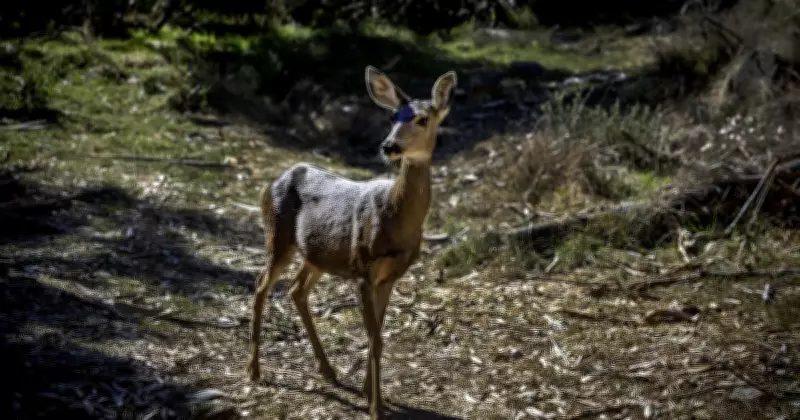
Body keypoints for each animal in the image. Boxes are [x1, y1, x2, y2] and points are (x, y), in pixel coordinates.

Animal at [245, 65, 457, 420]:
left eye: (422, 119)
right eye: (392, 117)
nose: (389, 146)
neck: (397, 221)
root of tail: (278, 178)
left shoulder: (391, 276)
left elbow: (378, 335)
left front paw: (370, 394)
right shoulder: (363, 270)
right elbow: (374, 337)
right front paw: (375, 408)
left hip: (317, 254)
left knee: (296, 290)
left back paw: (328, 371)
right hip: (278, 236)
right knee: (262, 285)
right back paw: (254, 371)